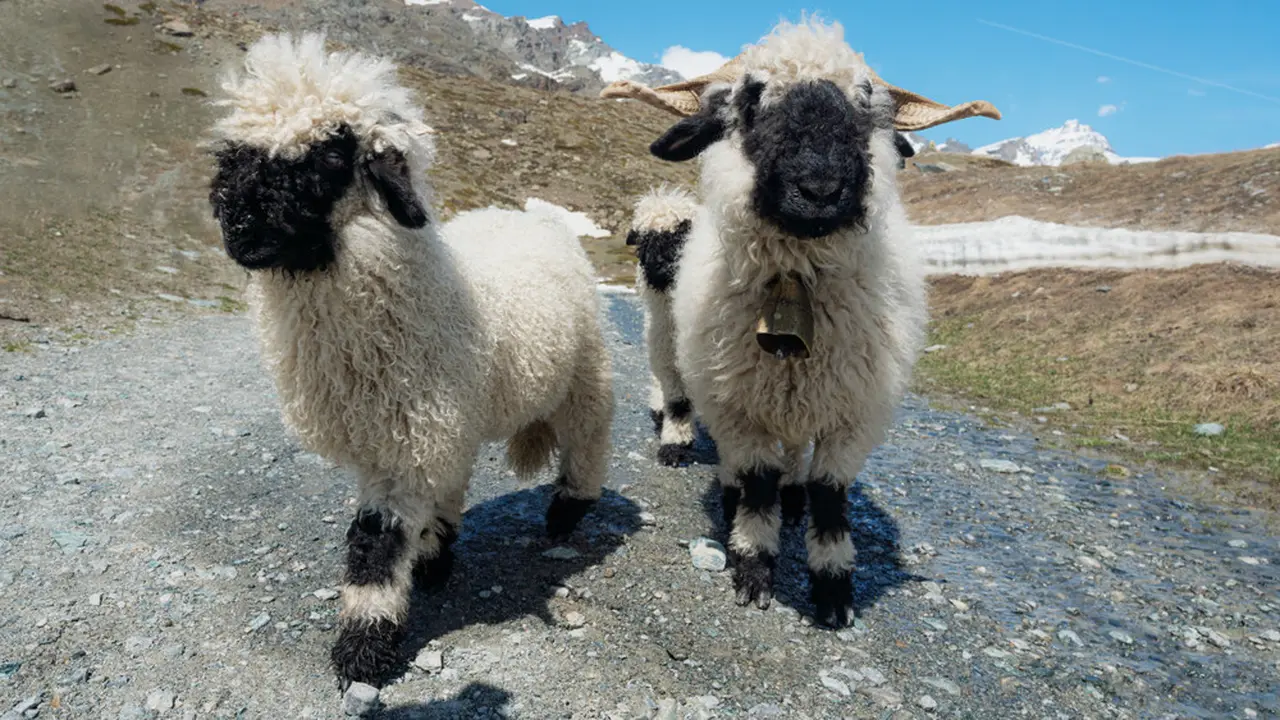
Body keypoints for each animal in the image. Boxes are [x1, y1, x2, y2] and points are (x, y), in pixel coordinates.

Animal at [205, 32, 614, 688]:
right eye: (237, 156)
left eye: (329, 156)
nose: (240, 226)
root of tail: (537, 216)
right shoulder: (415, 435)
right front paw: (428, 563)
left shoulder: (405, 443)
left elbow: (375, 543)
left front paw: (364, 647)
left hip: (585, 374)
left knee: (588, 439)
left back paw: (568, 510)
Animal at [637, 16, 997, 628]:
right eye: (751, 98)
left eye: (866, 100)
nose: (822, 190)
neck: (795, 282)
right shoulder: (740, 406)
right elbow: (756, 486)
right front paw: (754, 567)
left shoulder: (853, 412)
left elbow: (830, 498)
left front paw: (832, 588)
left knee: (796, 461)